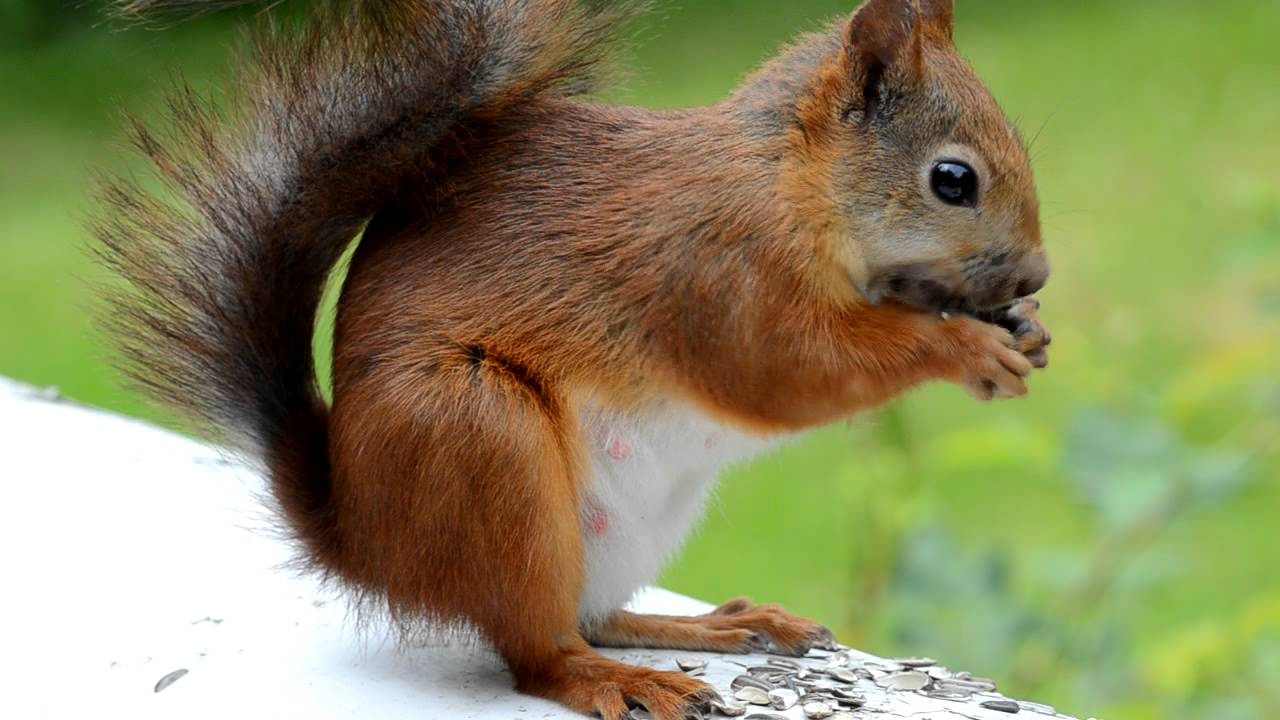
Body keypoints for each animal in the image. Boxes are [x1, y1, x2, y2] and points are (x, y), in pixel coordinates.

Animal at [95, 0, 1052, 718]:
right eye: (953, 180)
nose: (1037, 275)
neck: (787, 179)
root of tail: (366, 545)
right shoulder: (718, 274)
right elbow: (787, 370)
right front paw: (965, 346)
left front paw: (1025, 328)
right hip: (483, 440)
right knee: (541, 653)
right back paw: (618, 681)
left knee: (596, 618)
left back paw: (714, 627)